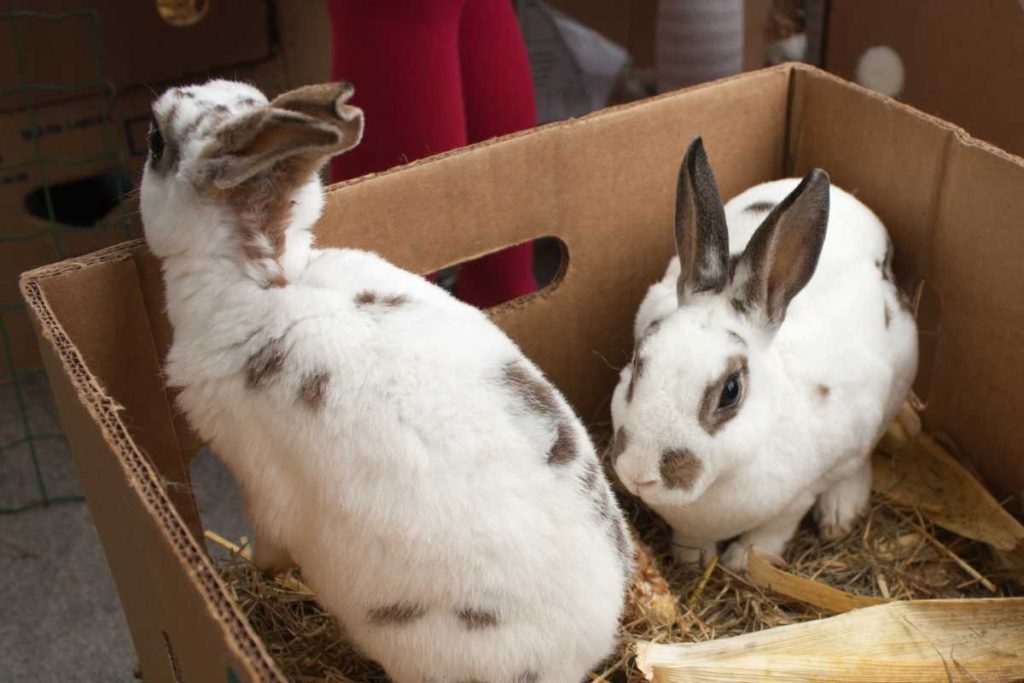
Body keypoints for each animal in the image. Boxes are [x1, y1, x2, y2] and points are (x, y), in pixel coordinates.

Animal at [140, 79, 634, 683]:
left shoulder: (255, 483)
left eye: (155, 140)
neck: (266, 276)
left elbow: (267, 541)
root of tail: (589, 649)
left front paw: (262, 570)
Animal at [608, 137, 917, 571]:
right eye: (638, 362)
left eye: (731, 391)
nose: (639, 473)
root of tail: (854, 203)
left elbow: (775, 529)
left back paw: (841, 511)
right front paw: (693, 560)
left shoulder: (800, 495)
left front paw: (745, 562)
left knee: (859, 460)